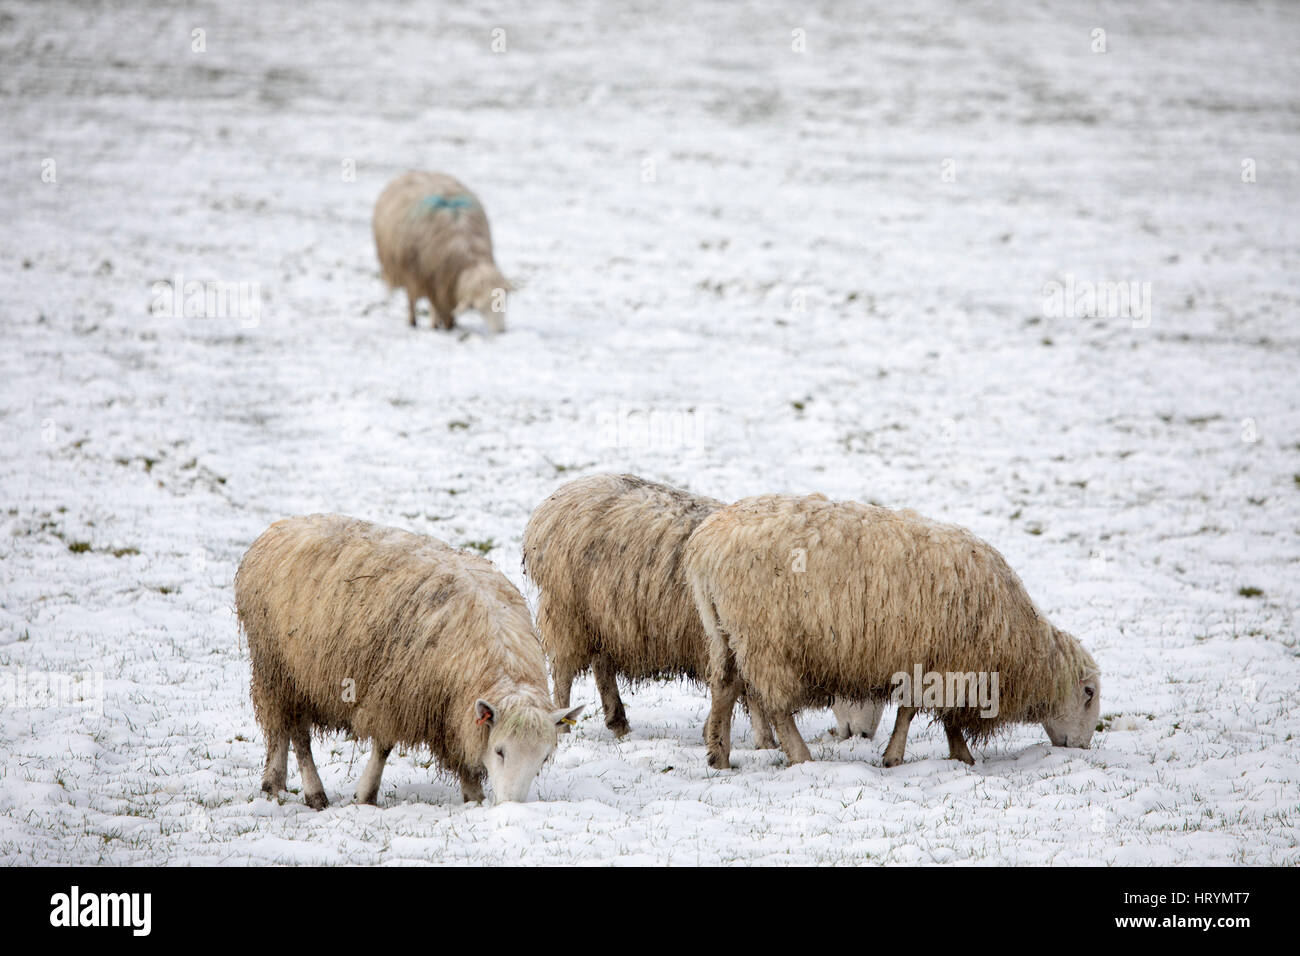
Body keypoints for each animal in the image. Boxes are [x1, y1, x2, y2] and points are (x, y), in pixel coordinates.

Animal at [235, 514, 582, 808]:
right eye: (500, 751)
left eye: (542, 759)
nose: (511, 806)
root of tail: (280, 527)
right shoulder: (396, 692)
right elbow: (383, 746)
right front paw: (366, 795)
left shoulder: (450, 707)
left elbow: (461, 752)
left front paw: (473, 796)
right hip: (284, 668)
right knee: (298, 734)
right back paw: (314, 792)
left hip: (278, 669)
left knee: (278, 728)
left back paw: (273, 783)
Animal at [372, 171, 512, 333]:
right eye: (480, 308)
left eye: (504, 302)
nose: (501, 331)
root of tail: (412, 172)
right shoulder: (432, 278)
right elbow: (436, 305)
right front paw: (440, 325)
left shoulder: (446, 282)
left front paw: (450, 323)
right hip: (408, 270)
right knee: (411, 298)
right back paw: (412, 321)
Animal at [521, 473, 776, 748]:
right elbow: (752, 696)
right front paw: (764, 742)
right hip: (567, 612)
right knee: (563, 674)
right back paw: (564, 730)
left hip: (604, 616)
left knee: (602, 664)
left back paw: (618, 721)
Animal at [684, 494, 1101, 770]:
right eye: (1088, 693)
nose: (1082, 748)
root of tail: (705, 545)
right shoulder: (942, 662)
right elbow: (916, 713)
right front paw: (901, 757)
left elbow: (930, 714)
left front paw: (958, 755)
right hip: (766, 637)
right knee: (775, 704)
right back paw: (800, 757)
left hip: (724, 631)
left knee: (724, 687)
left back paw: (719, 756)